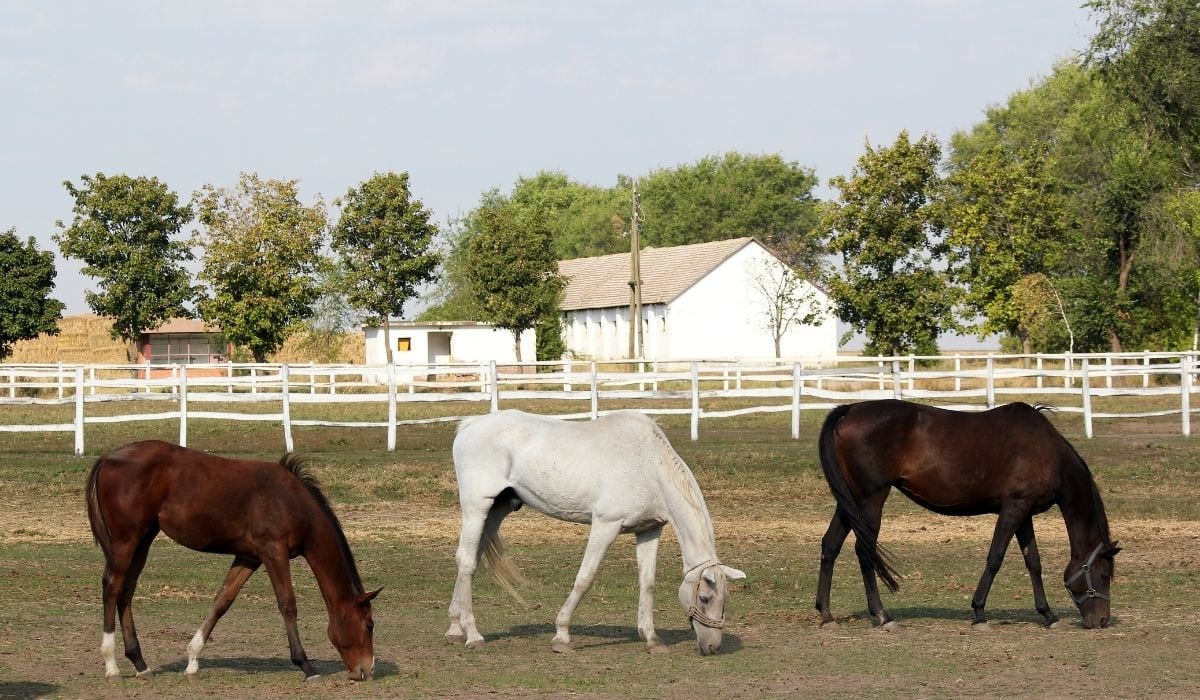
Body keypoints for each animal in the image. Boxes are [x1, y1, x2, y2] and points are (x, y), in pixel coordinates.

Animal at [84, 440, 381, 681]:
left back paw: (140, 663)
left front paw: (192, 660)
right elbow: (287, 604)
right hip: (125, 540)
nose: (366, 670)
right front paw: (306, 666)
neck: (290, 501)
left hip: (143, 539)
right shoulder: (273, 552)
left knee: (127, 590)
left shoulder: (249, 557)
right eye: (369, 625)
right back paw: (111, 665)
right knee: (112, 586)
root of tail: (108, 457)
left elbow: (223, 601)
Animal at [444, 409, 745, 655]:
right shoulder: (605, 525)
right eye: (705, 598)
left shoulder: (649, 530)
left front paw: (651, 638)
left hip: (497, 510)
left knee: (469, 559)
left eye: (726, 600)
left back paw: (455, 629)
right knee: (467, 562)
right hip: (477, 507)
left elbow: (647, 582)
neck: (651, 466)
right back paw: (473, 635)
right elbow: (585, 578)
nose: (712, 647)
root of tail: (470, 425)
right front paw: (562, 636)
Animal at [815, 400, 1119, 631]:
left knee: (831, 544)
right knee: (863, 550)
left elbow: (1033, 562)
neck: (1047, 450)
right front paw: (979, 613)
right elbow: (995, 557)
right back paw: (882, 616)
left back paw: (826, 615)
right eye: (1104, 575)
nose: (1101, 620)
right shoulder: (1014, 508)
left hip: (850, 502)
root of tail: (850, 410)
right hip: (871, 500)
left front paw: (1047, 614)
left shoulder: (1024, 513)